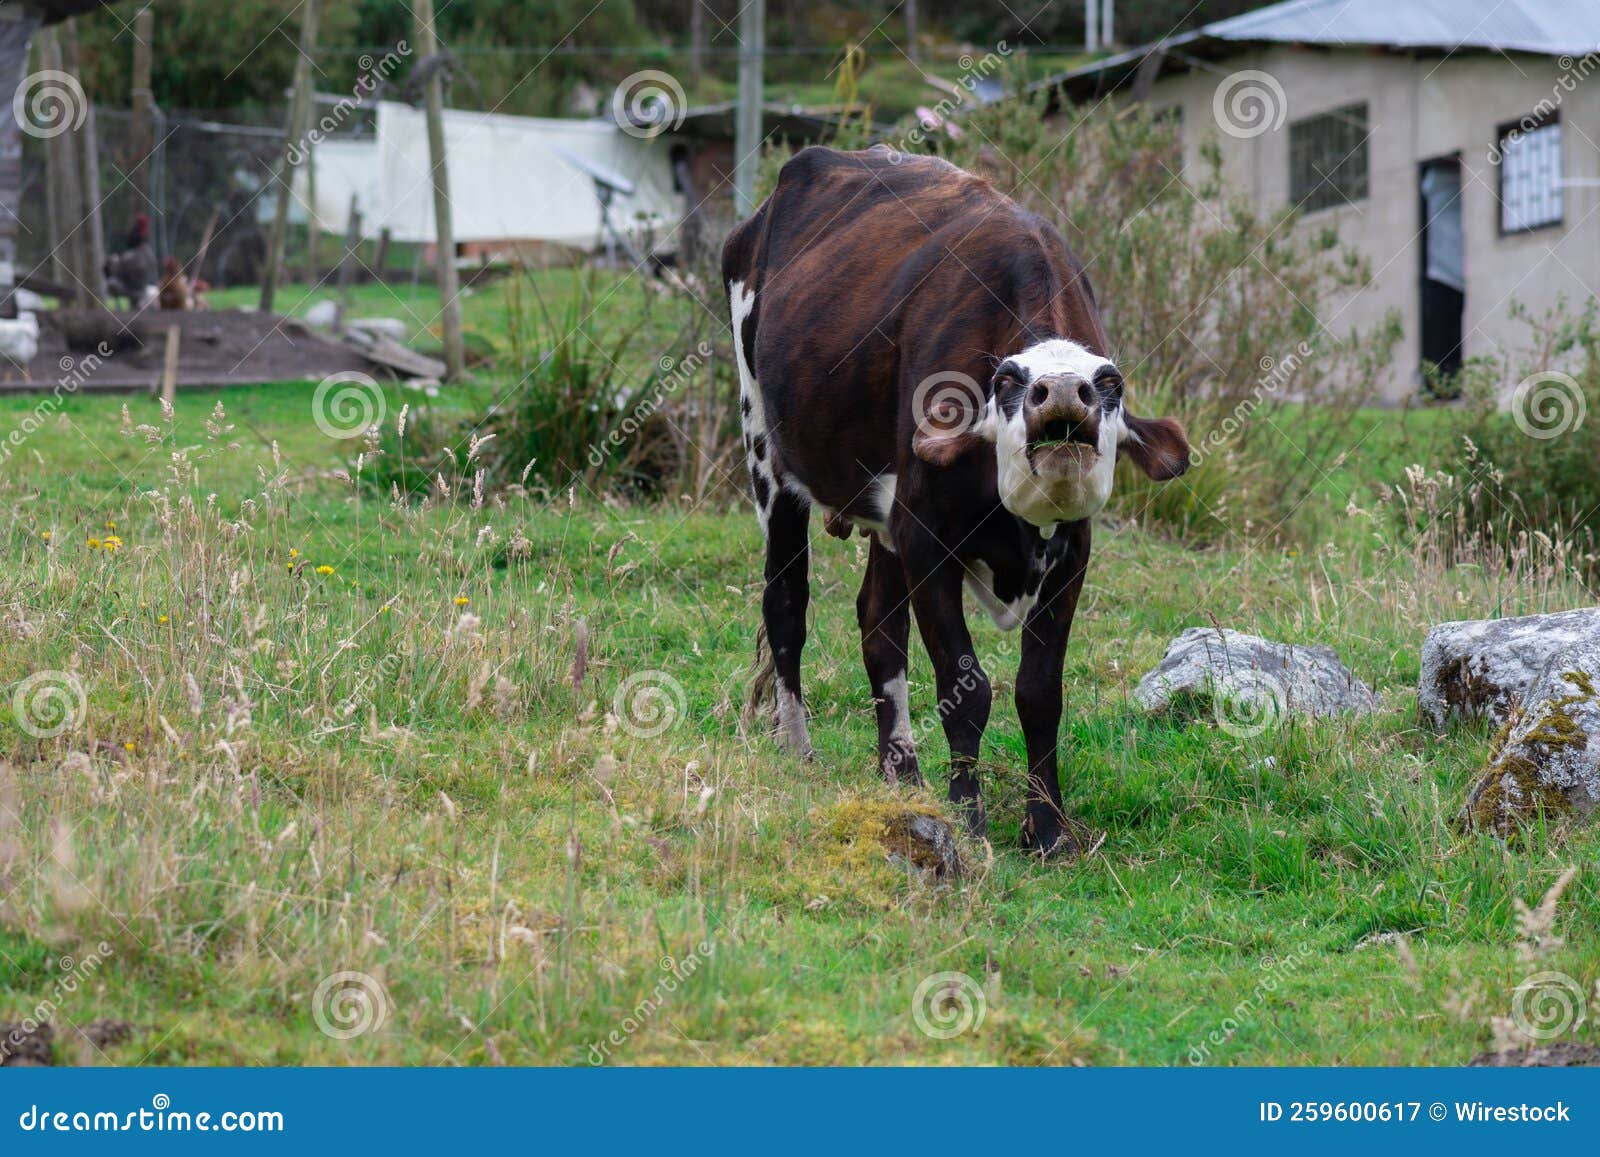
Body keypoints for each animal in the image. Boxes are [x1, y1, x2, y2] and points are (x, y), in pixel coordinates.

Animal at [721, 146, 1191, 856]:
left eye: (1109, 382)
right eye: (1008, 380)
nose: (1062, 392)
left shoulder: (1072, 553)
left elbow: (1039, 692)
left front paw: (1048, 830)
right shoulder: (926, 537)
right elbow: (964, 687)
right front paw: (969, 819)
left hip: (881, 520)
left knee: (877, 624)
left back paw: (902, 774)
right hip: (766, 453)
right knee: (786, 605)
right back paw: (798, 750)